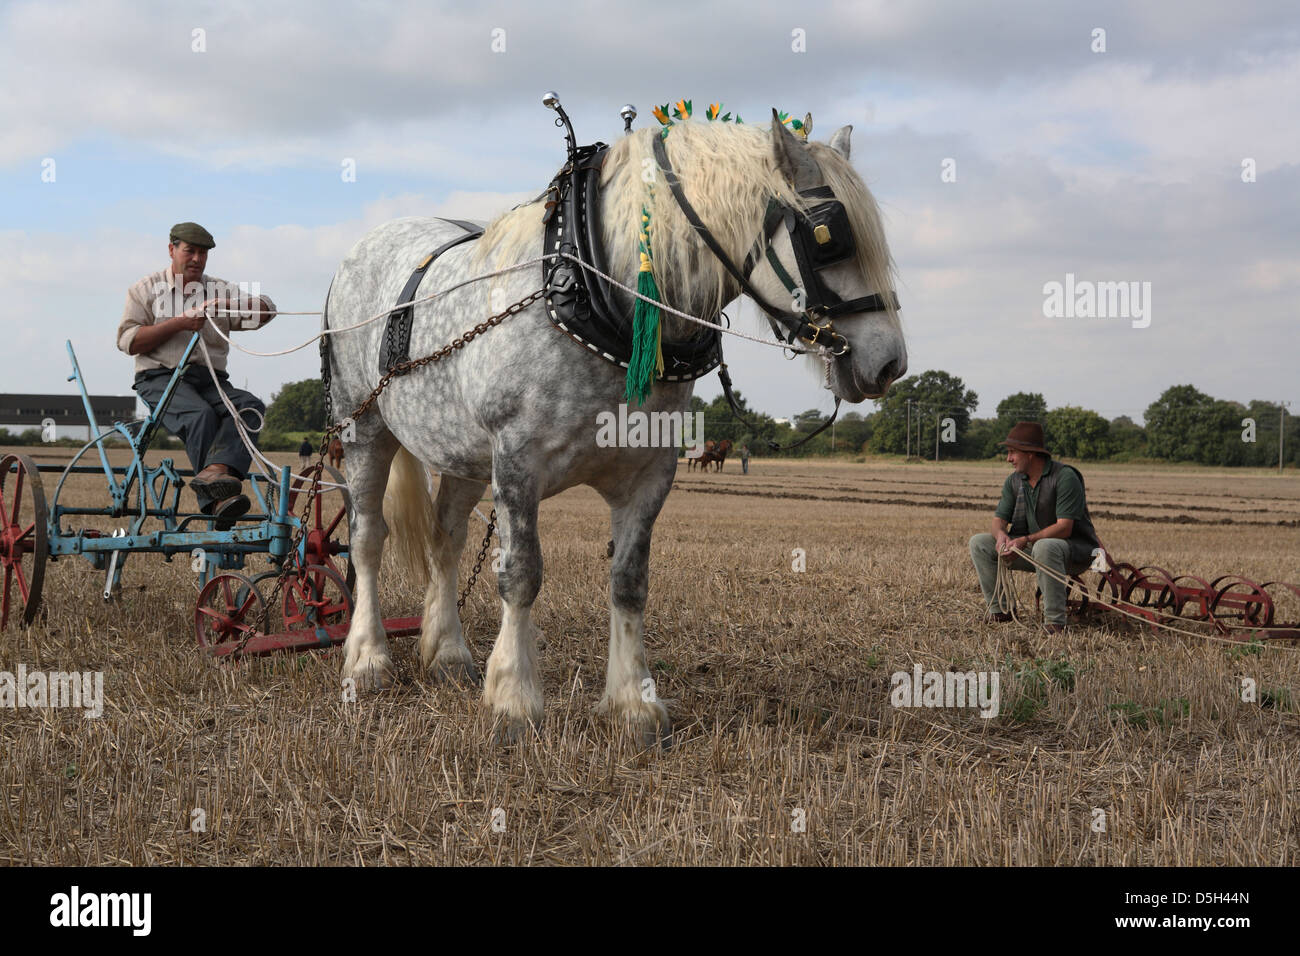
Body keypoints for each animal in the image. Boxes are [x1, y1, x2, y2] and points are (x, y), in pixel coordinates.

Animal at [322, 110, 906, 745]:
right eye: (828, 236)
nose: (890, 364)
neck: (596, 292)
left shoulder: (649, 472)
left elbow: (629, 581)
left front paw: (633, 704)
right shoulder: (517, 462)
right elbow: (520, 574)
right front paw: (514, 700)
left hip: (463, 454)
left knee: (444, 540)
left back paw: (448, 653)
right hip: (364, 428)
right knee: (368, 538)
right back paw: (367, 659)